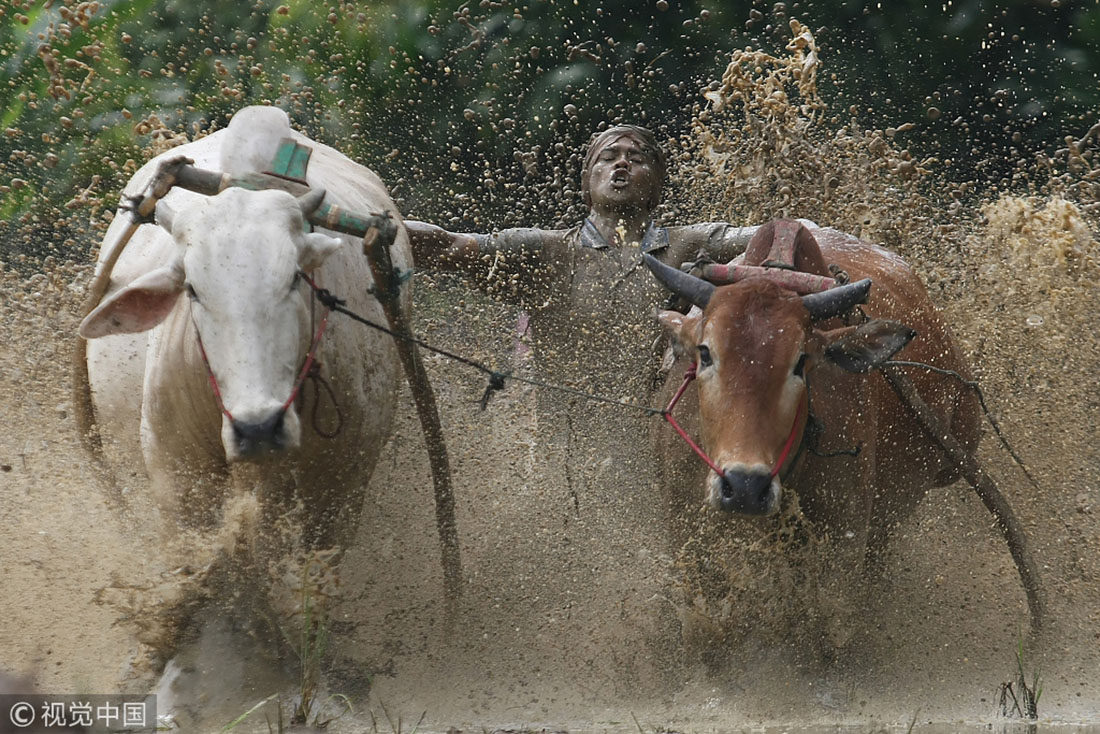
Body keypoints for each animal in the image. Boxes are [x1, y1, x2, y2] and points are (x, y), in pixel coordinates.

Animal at [75, 106, 410, 671]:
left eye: (295, 278)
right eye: (192, 289)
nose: (258, 427)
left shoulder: (344, 485)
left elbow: (304, 590)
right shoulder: (176, 473)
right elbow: (196, 569)